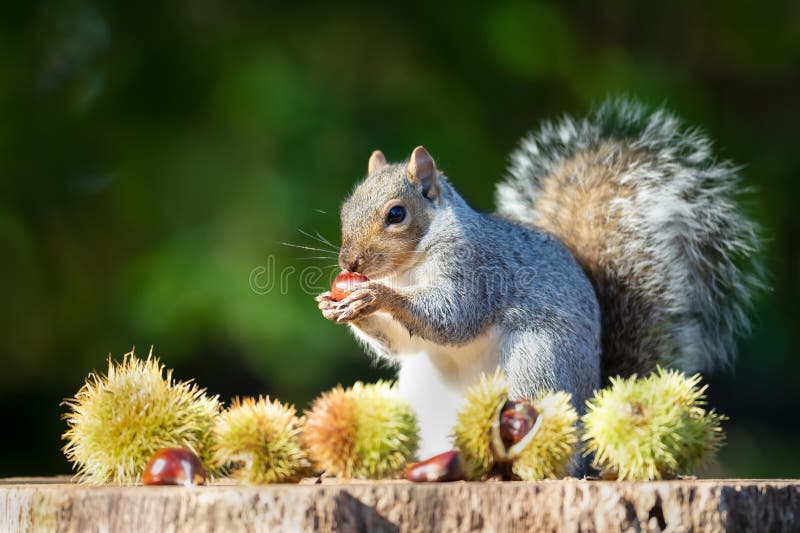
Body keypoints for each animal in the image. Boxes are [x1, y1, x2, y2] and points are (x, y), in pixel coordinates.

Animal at [315, 98, 762, 463]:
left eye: (396, 214)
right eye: (346, 207)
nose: (349, 261)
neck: (408, 266)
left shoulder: (476, 268)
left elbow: (454, 316)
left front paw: (375, 295)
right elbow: (404, 342)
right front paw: (336, 304)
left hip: (538, 360)